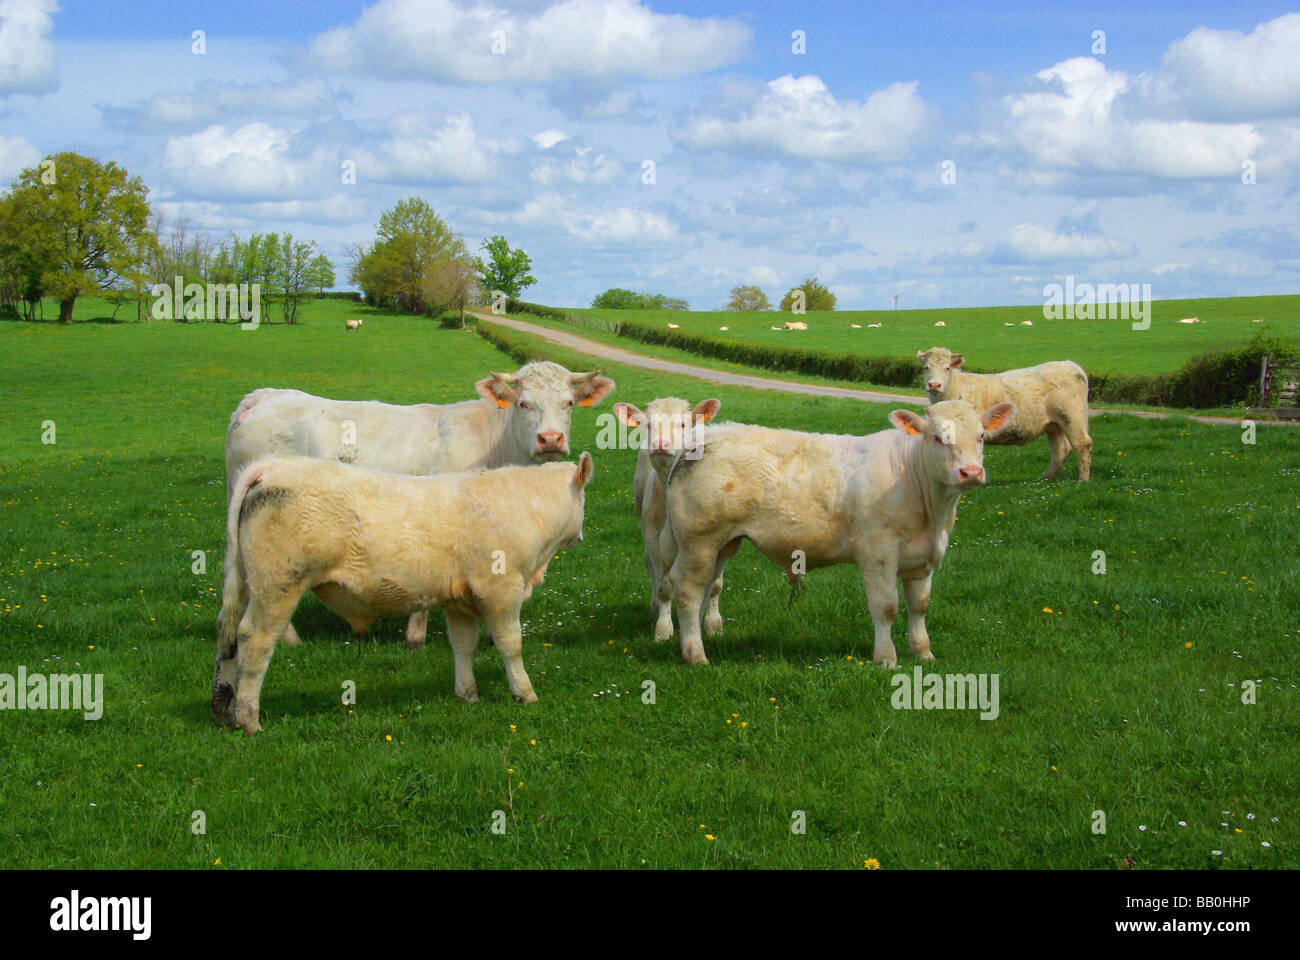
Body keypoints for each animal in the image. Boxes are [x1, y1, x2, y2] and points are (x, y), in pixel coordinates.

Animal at [212, 452, 594, 734]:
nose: (580, 536)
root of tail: (272, 465)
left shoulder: (459, 602)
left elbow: (463, 646)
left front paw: (467, 694)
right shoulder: (501, 591)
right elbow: (510, 645)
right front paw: (525, 693)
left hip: (246, 584)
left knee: (227, 637)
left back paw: (223, 709)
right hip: (277, 588)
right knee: (254, 642)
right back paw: (248, 719)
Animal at [223, 361, 615, 647]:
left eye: (568, 403)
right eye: (523, 403)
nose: (550, 439)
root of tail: (263, 396)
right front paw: (415, 636)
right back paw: (290, 639)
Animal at [613, 396, 726, 642]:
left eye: (683, 424)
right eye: (647, 425)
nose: (660, 444)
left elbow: (715, 585)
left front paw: (713, 624)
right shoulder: (655, 538)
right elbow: (664, 586)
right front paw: (663, 629)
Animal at [664, 400, 1016, 667]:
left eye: (982, 436)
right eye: (938, 438)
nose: (971, 472)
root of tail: (704, 436)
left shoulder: (923, 559)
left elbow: (920, 606)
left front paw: (923, 653)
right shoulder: (877, 553)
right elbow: (886, 607)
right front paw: (886, 658)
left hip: (722, 544)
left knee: (704, 587)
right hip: (699, 541)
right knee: (687, 589)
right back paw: (696, 654)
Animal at [917, 347, 1091, 481]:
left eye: (947, 368)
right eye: (926, 368)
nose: (934, 384)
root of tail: (1070, 364)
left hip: (1073, 417)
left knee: (1082, 444)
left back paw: (1082, 480)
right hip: (1054, 425)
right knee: (1061, 450)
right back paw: (1047, 478)